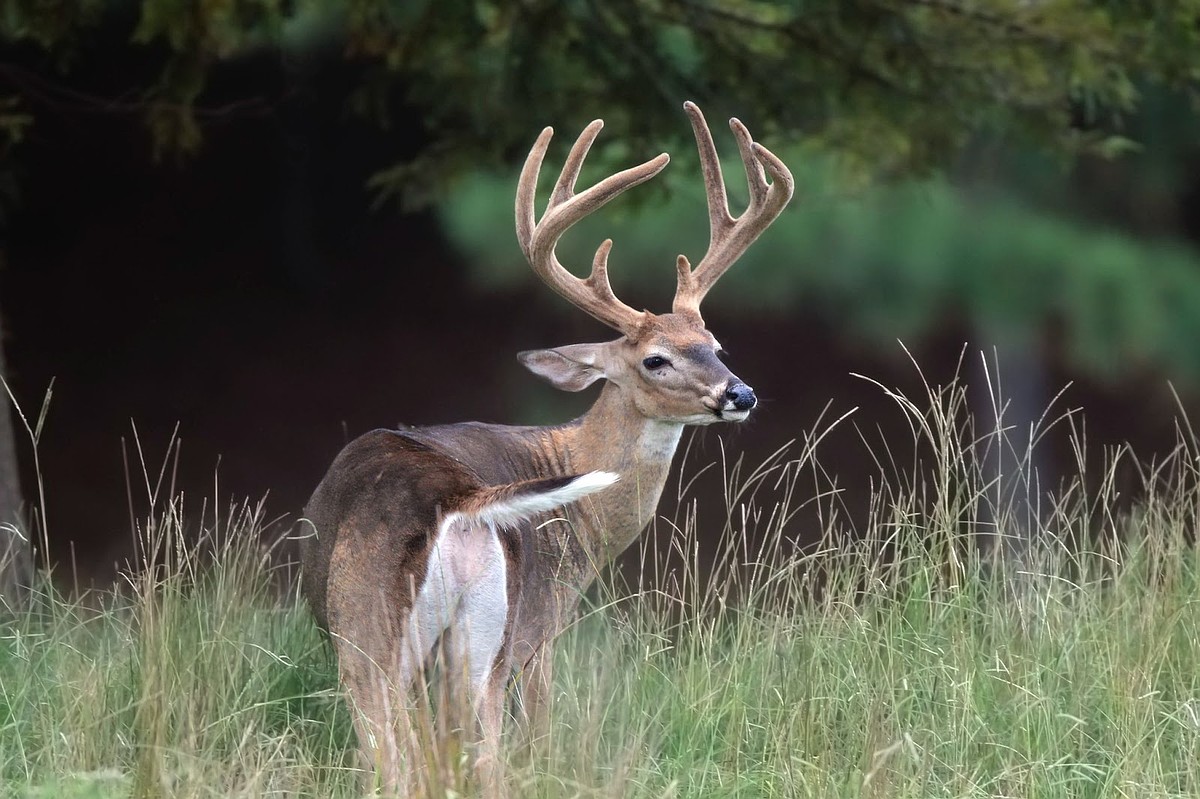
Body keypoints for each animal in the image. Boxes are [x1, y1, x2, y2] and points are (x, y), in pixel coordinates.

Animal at [299, 101, 793, 795]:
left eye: (714, 345)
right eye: (657, 358)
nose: (740, 393)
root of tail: (462, 500)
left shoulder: (539, 629)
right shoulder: (539, 625)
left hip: (380, 638)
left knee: (420, 760)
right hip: (450, 645)